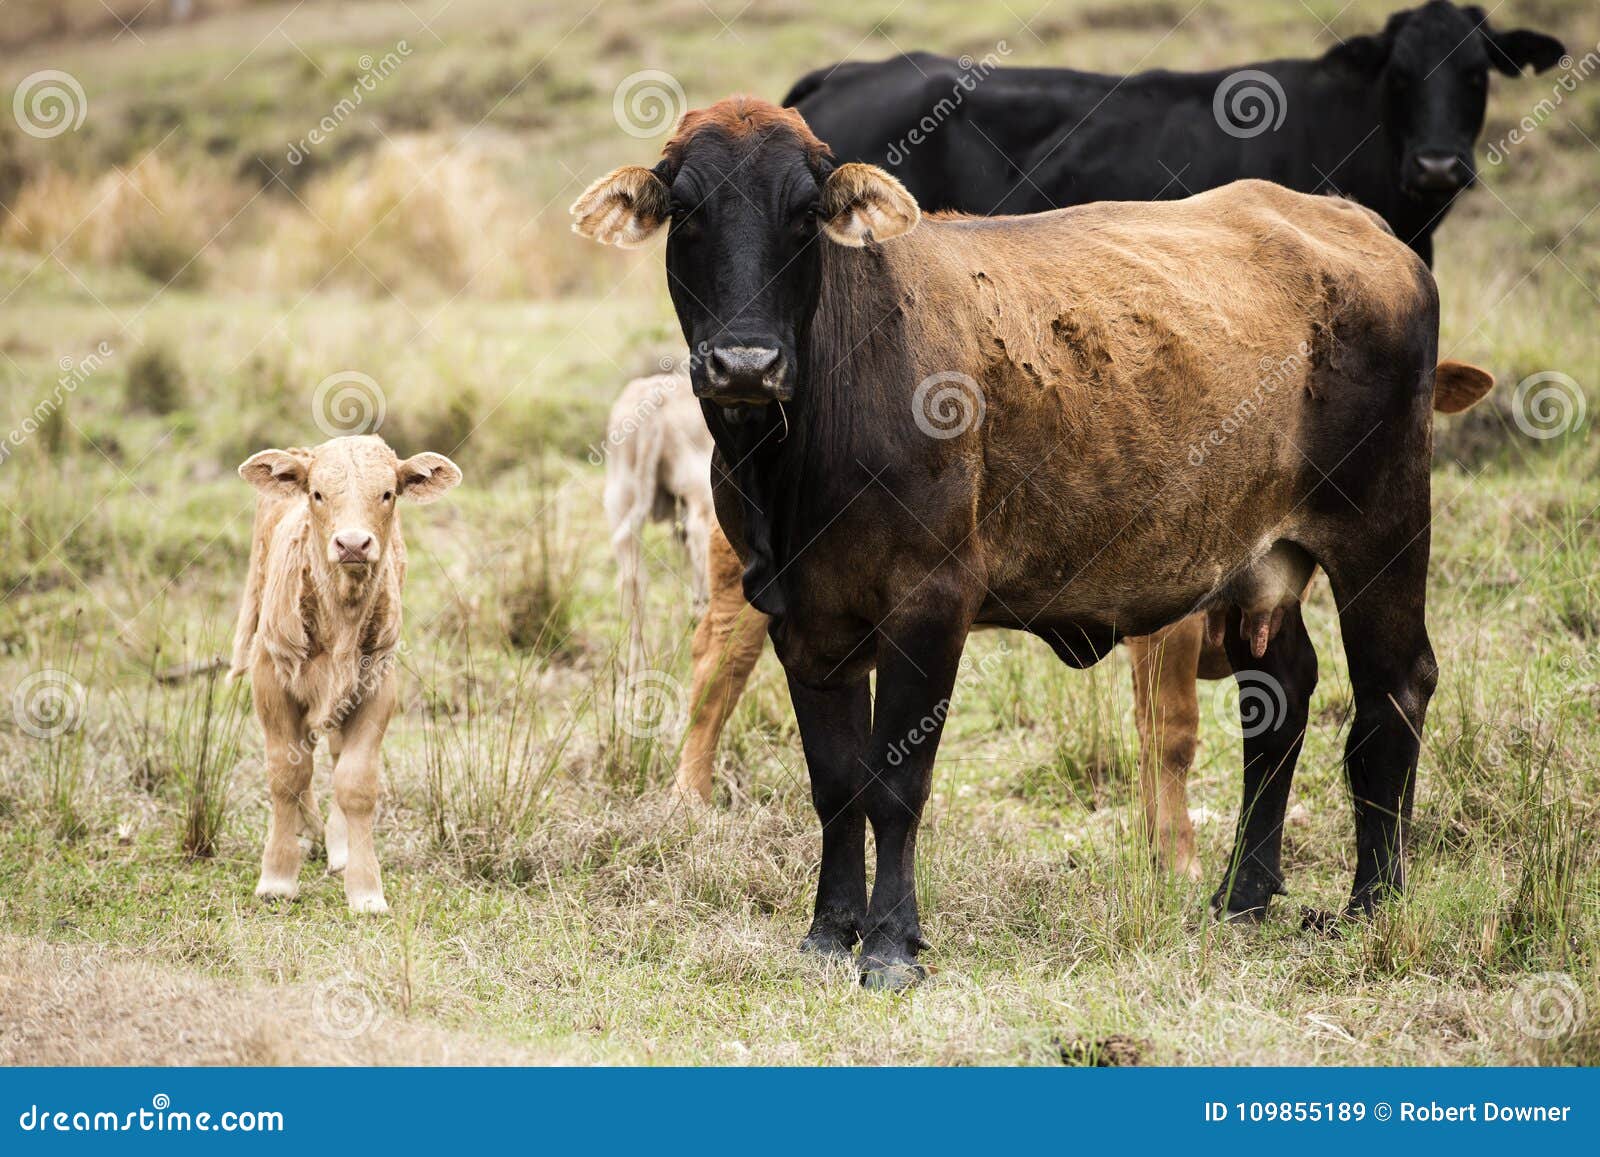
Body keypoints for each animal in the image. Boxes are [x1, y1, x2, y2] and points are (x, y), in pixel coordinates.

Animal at [230, 434, 462, 914]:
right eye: (318, 494)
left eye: (388, 494)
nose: (353, 544)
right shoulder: (270, 677)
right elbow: (286, 774)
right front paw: (277, 877)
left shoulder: (377, 683)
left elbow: (355, 783)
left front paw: (365, 888)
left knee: (334, 754)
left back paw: (336, 846)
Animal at [602, 369, 715, 673]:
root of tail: (654, 398)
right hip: (701, 490)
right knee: (701, 548)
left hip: (620, 500)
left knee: (633, 581)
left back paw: (636, 666)